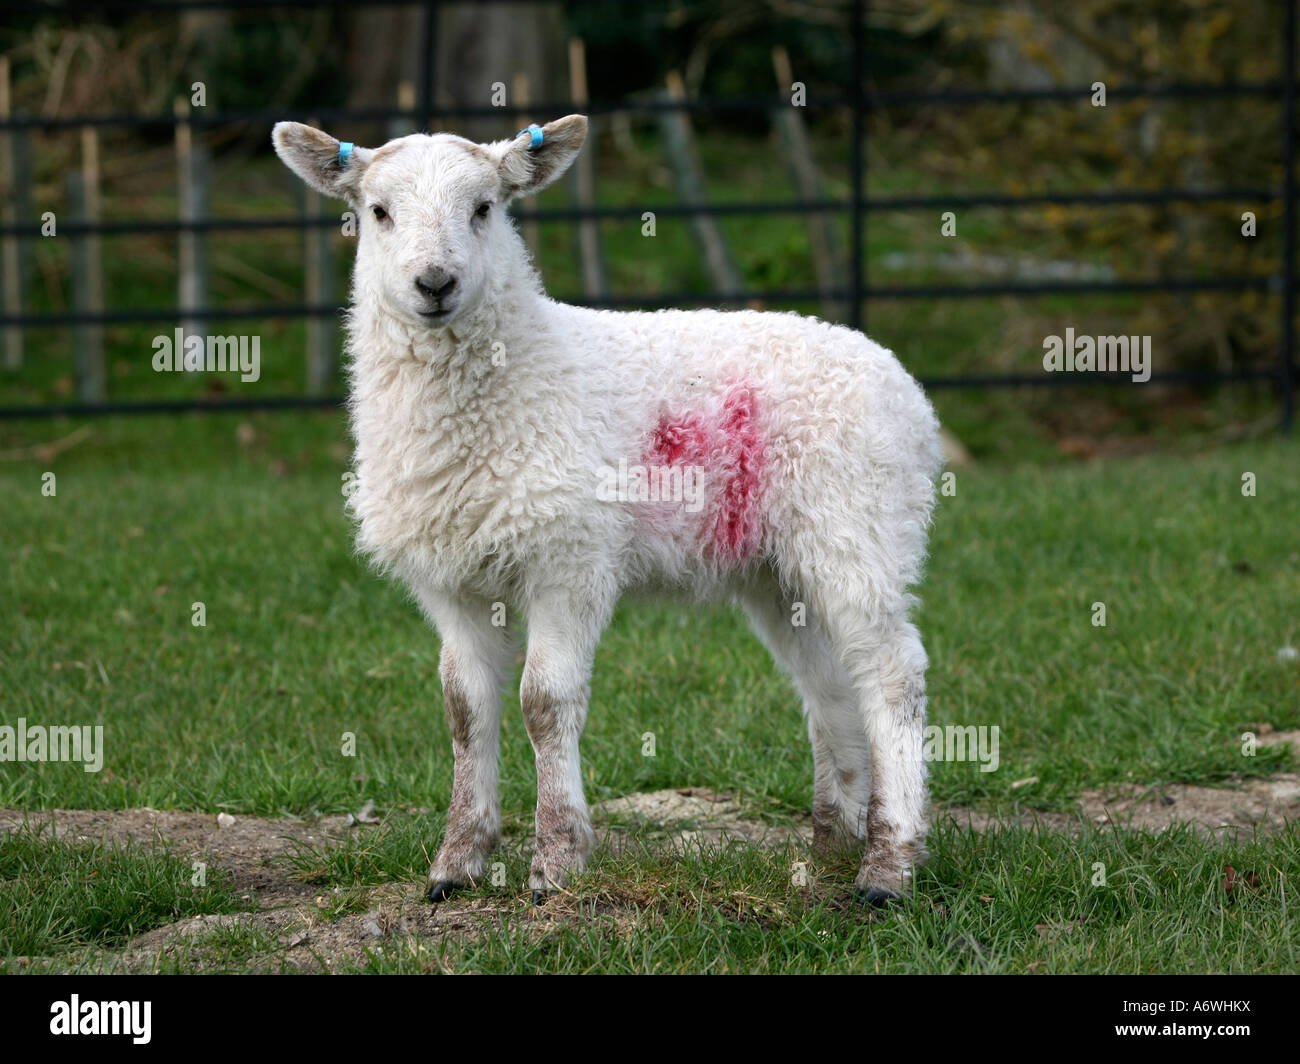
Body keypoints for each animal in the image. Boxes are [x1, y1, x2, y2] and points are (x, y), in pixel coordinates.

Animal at [272, 114, 942, 906]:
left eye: (484, 208)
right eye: (378, 212)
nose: (434, 283)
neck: (520, 376)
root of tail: (907, 389)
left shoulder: (570, 560)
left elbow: (544, 701)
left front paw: (556, 860)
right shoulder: (452, 580)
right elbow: (465, 710)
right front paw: (457, 862)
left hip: (858, 524)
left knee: (892, 672)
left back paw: (888, 865)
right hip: (777, 568)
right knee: (830, 683)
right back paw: (830, 845)